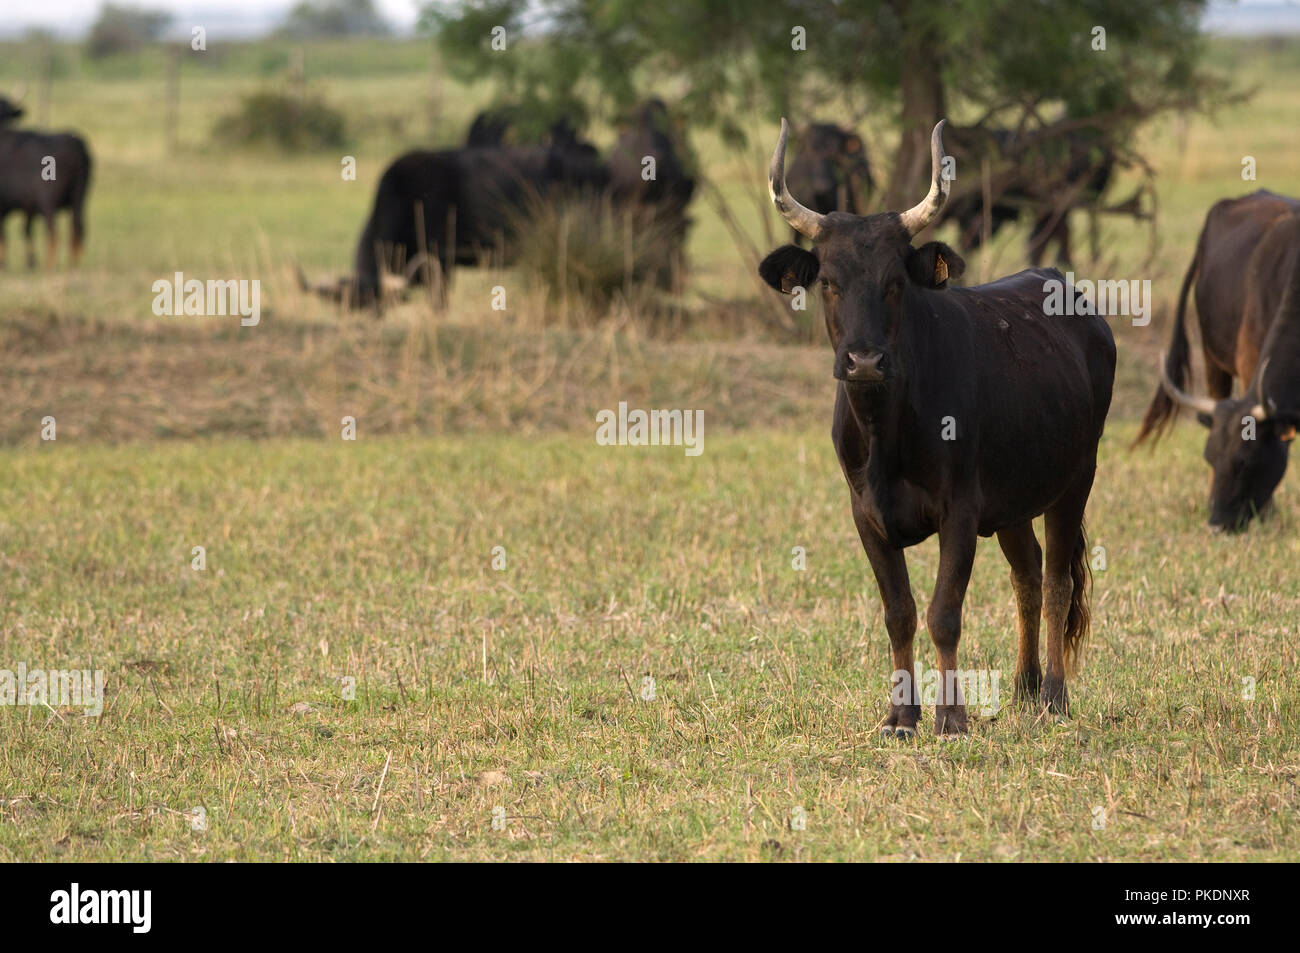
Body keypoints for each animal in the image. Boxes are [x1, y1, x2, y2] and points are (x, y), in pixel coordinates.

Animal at [0, 96, 93, 269]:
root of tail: (75, 145)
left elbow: (6, 235)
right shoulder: (28, 206)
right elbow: (26, 231)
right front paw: (30, 263)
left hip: (48, 200)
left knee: (54, 232)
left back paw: (50, 265)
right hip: (79, 197)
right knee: (77, 228)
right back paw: (73, 264)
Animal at [758, 119, 1115, 735]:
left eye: (895, 281)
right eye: (828, 280)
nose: (864, 361)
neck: (887, 431)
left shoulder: (961, 511)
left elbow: (944, 612)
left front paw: (952, 715)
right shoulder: (866, 515)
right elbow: (898, 613)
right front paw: (901, 714)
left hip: (1076, 480)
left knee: (1057, 584)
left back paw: (1052, 695)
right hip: (1013, 502)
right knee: (1028, 577)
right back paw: (1022, 689)